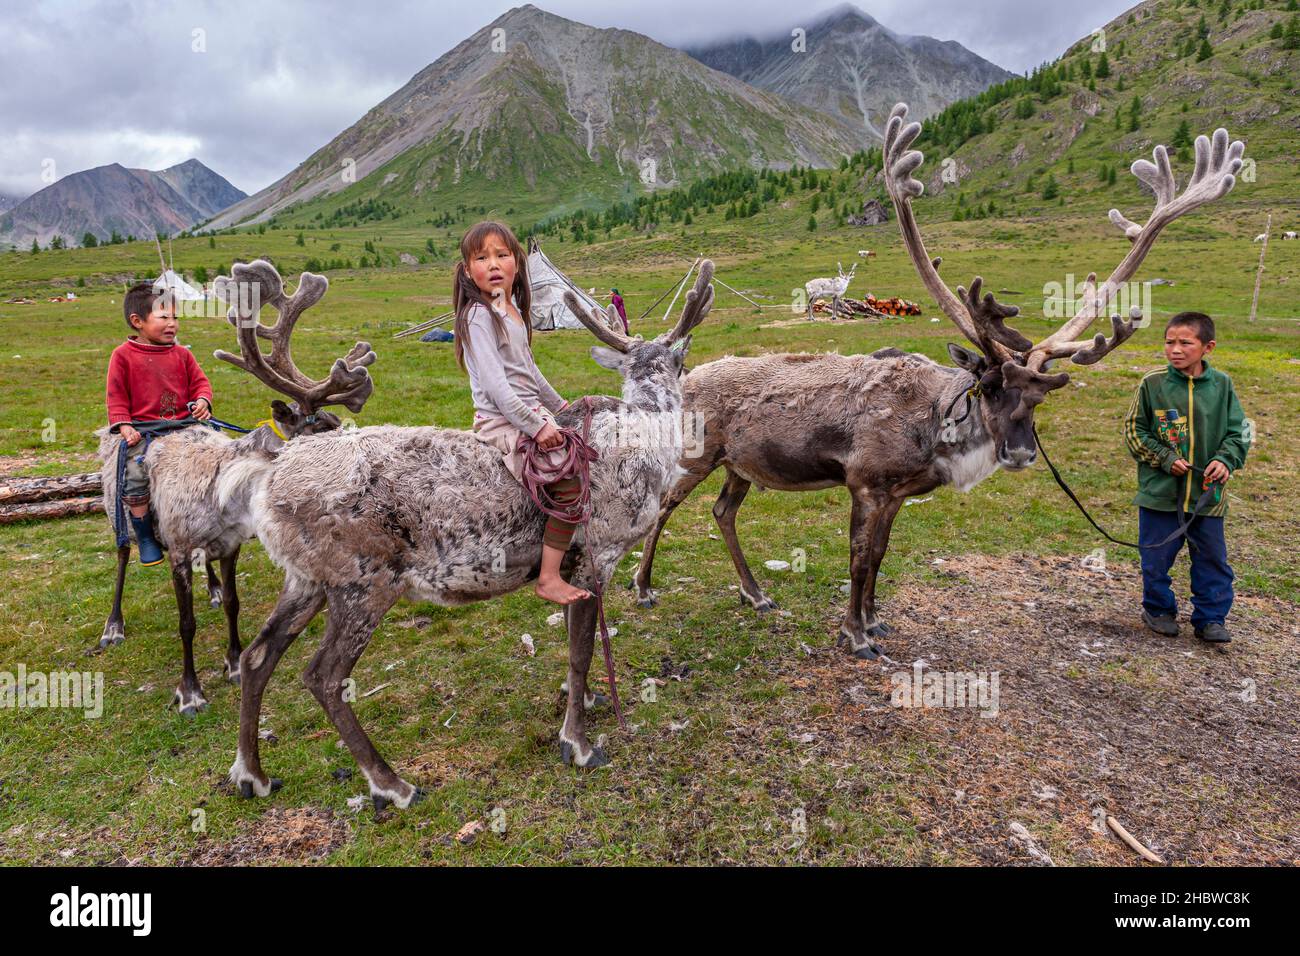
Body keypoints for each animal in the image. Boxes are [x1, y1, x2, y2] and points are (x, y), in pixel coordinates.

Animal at [96, 260, 376, 715]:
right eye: (322, 430)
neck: (224, 499)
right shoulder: (177, 551)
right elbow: (186, 622)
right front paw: (190, 691)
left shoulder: (230, 545)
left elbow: (233, 603)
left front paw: (232, 663)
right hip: (114, 508)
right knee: (123, 554)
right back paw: (113, 626)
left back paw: (207, 588)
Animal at [225, 264, 716, 811]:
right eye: (685, 363)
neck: (649, 434)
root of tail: (268, 479)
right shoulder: (598, 557)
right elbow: (582, 653)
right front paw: (580, 744)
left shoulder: (571, 566)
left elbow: (574, 646)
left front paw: (586, 700)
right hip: (365, 583)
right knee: (324, 676)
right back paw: (392, 784)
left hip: (306, 580)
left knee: (257, 657)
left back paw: (252, 775)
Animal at [632, 102, 1243, 660]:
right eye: (990, 386)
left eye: (1040, 398)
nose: (1020, 454)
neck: (934, 425)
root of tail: (687, 379)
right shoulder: (866, 483)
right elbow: (858, 558)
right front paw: (855, 636)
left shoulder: (898, 494)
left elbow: (879, 557)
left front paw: (874, 621)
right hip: (695, 455)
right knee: (663, 507)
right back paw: (643, 588)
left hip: (739, 466)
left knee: (722, 512)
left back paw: (755, 593)